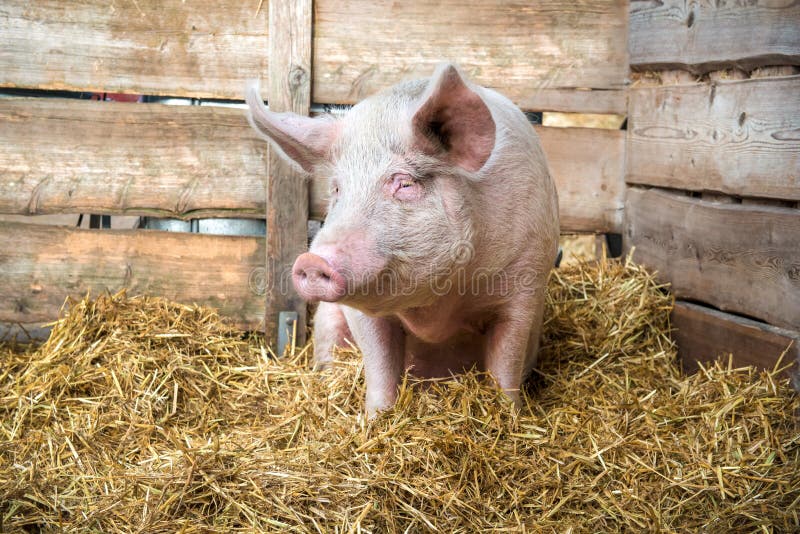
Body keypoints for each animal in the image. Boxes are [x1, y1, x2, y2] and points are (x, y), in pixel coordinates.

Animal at [246, 63, 559, 418]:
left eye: (404, 184)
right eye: (338, 189)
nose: (312, 260)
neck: (437, 306)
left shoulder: (526, 283)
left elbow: (506, 363)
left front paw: (508, 415)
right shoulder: (361, 312)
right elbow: (379, 366)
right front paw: (375, 418)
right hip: (326, 319)